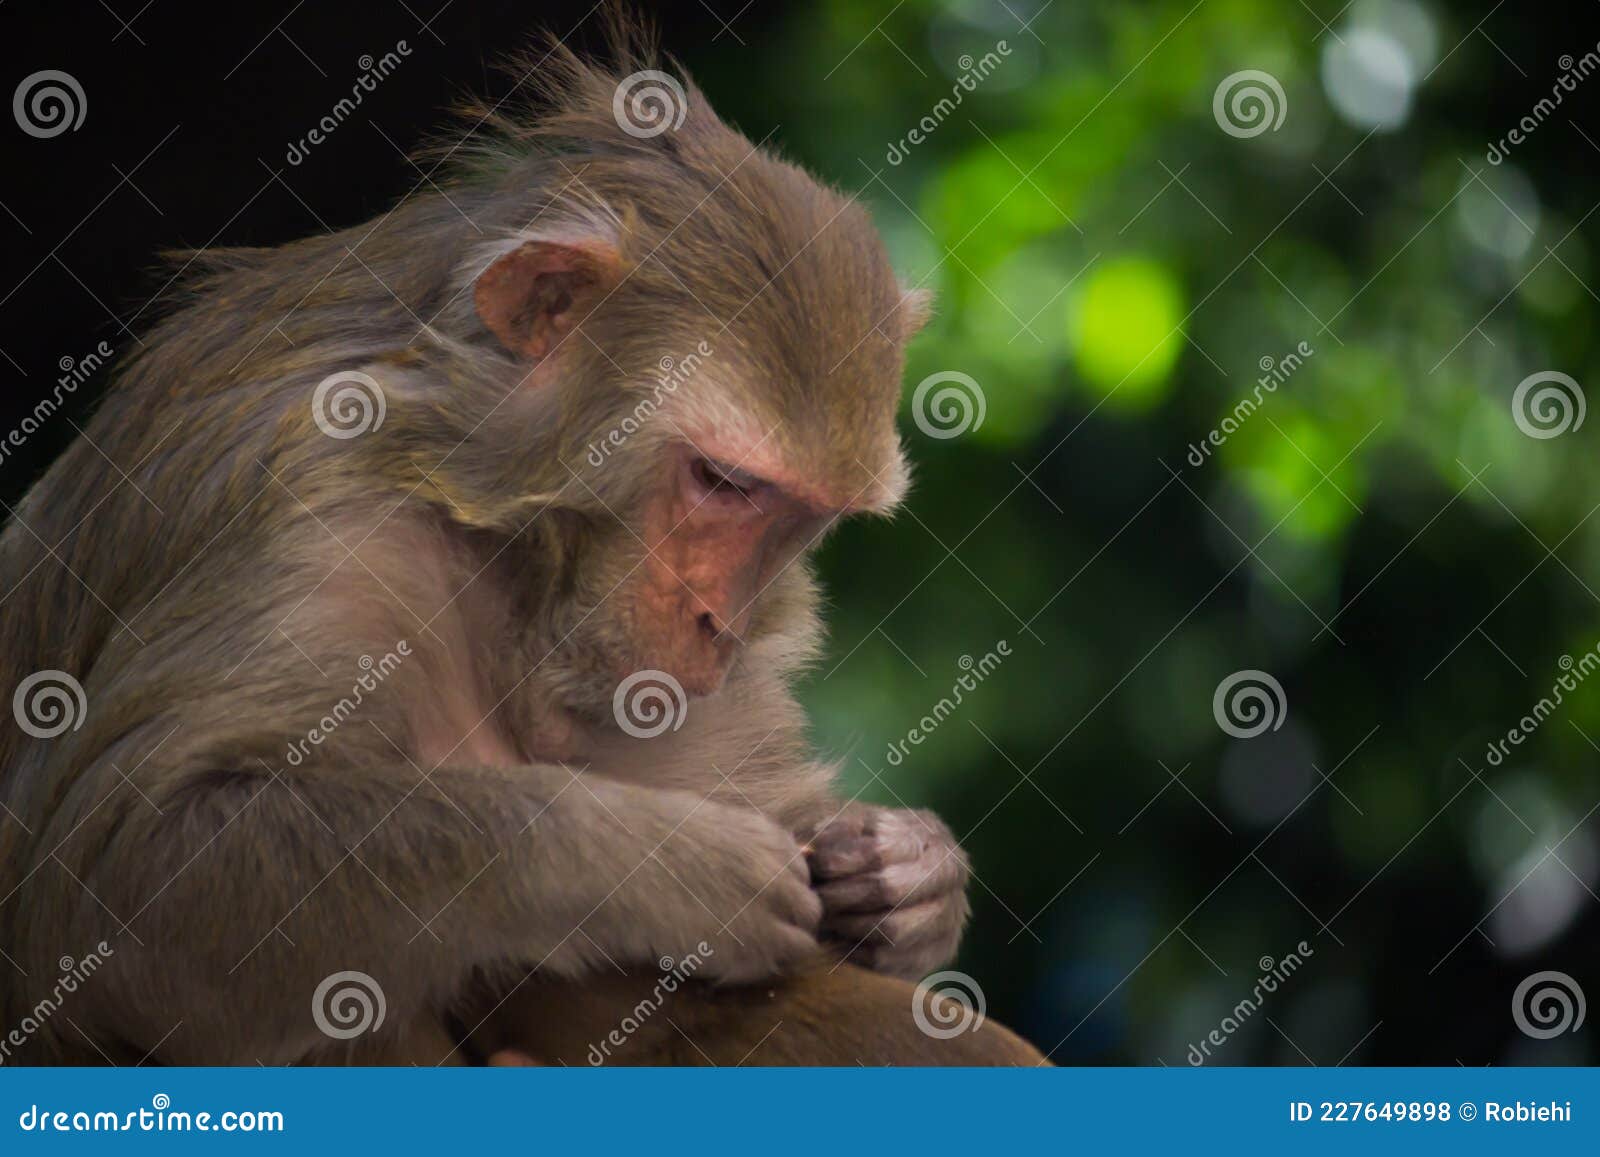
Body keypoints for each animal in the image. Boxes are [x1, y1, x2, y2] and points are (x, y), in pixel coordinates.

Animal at [0, 15, 1044, 1066]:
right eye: (724, 481)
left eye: (804, 514)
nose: (721, 624)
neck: (499, 547)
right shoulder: (322, 522)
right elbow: (113, 881)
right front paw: (656, 864)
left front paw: (909, 873)